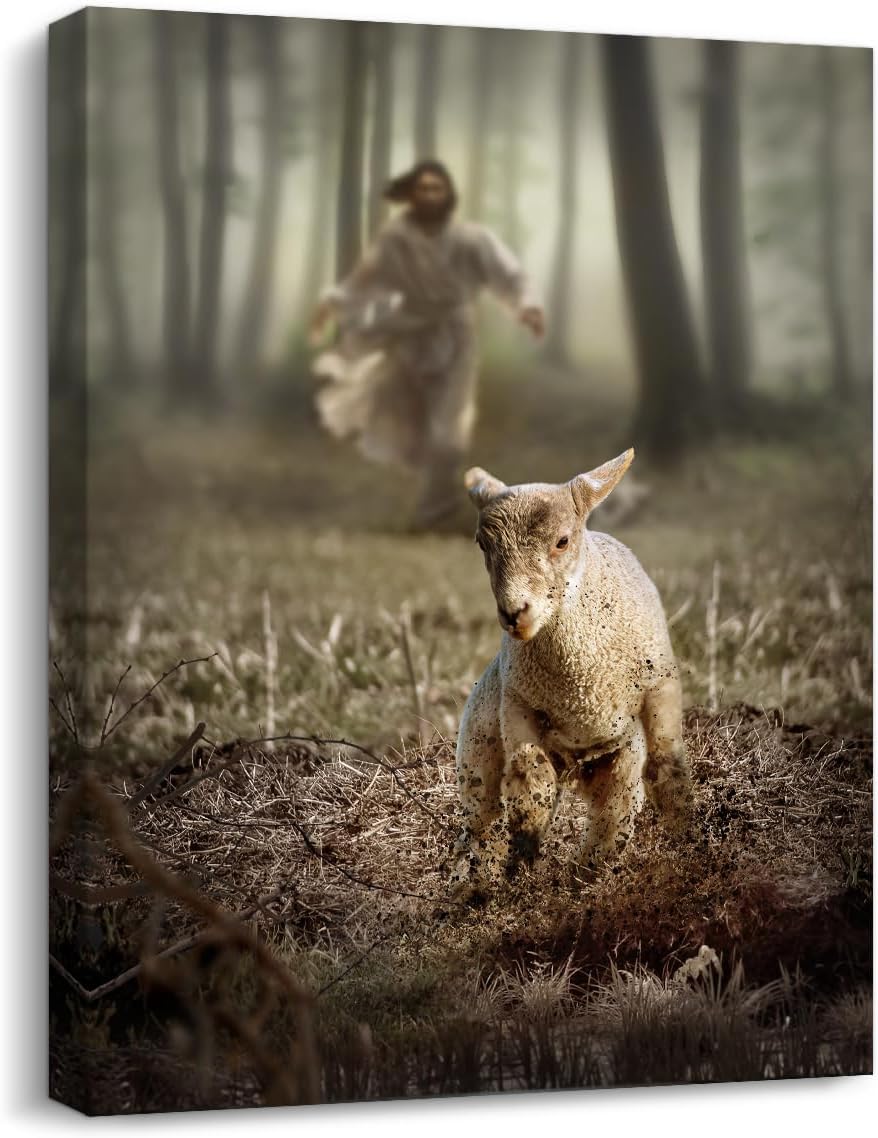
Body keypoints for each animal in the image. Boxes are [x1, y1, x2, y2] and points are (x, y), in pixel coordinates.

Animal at [451, 448, 693, 902]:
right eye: (482, 544)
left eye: (562, 541)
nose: (514, 613)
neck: (580, 686)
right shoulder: (518, 701)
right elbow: (530, 778)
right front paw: (525, 852)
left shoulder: (660, 687)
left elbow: (667, 770)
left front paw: (690, 838)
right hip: (477, 749)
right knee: (482, 821)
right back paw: (477, 882)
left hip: (617, 763)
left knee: (610, 820)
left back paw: (585, 880)